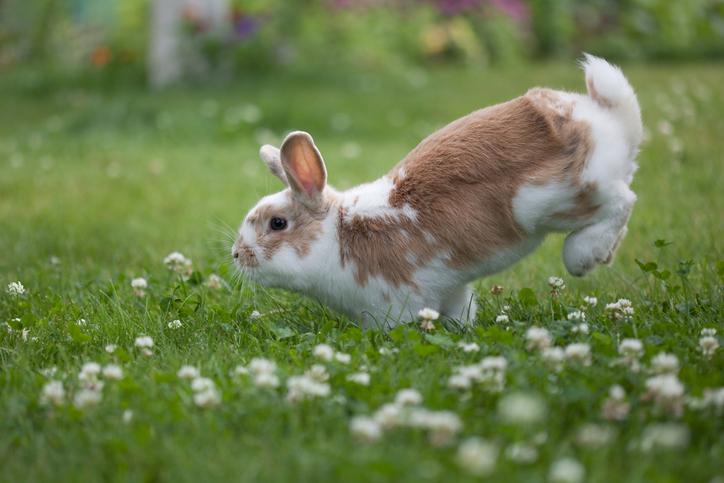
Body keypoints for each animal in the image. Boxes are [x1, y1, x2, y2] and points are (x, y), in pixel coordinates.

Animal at [232, 54, 642, 329]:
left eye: (277, 224)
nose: (237, 255)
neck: (339, 234)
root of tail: (604, 118)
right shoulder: (450, 289)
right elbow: (461, 310)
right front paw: (463, 331)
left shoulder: (394, 302)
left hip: (555, 199)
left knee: (623, 201)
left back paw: (584, 256)